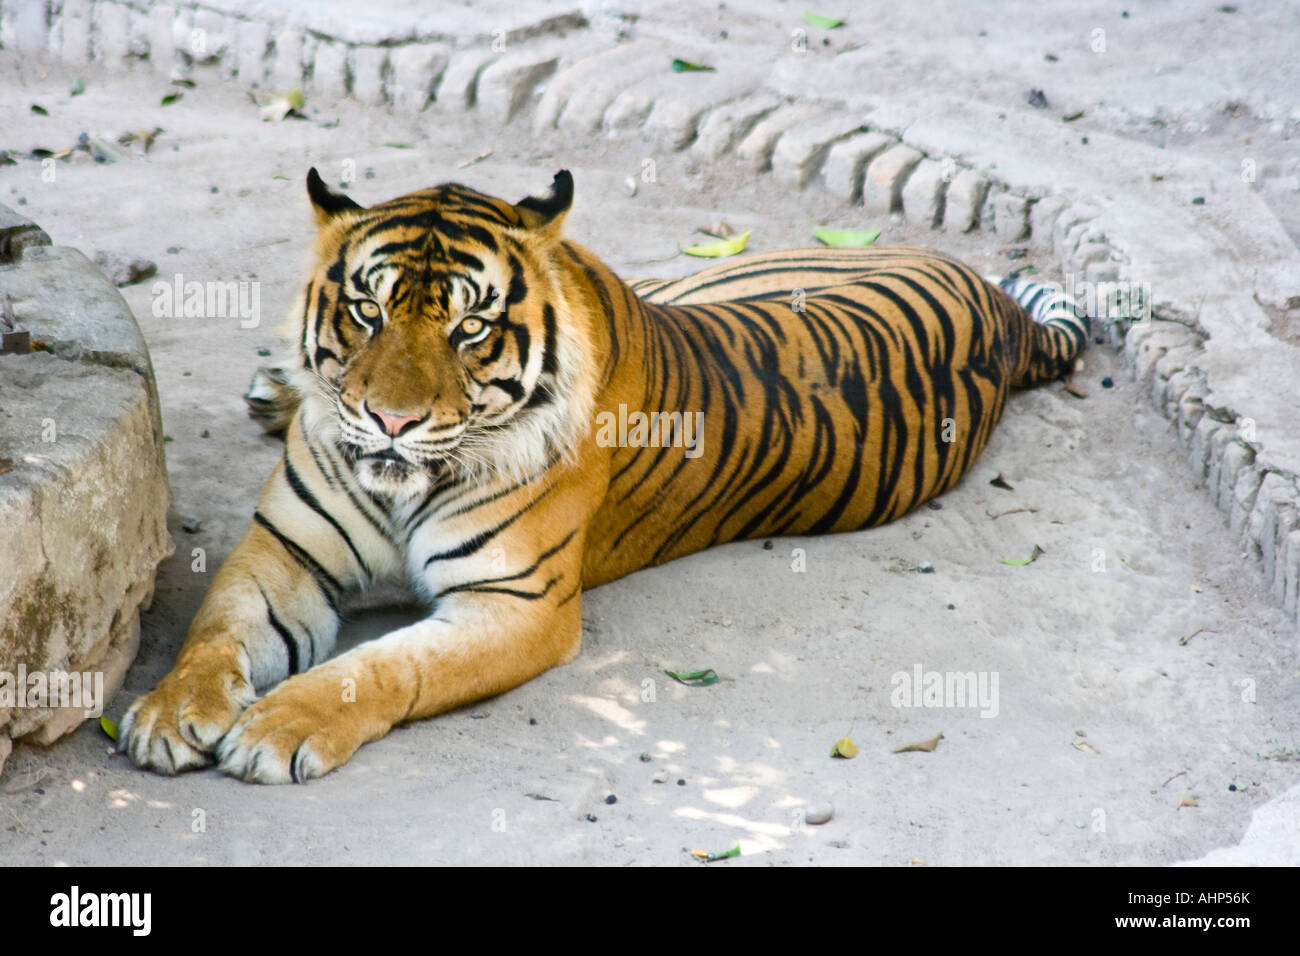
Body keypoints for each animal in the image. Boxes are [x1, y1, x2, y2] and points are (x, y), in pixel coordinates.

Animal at [119, 168, 1086, 783]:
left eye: (470, 328)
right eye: (367, 309)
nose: (391, 420)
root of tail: (1002, 314)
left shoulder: (516, 603)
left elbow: (385, 668)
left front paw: (278, 728)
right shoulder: (281, 555)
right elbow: (213, 634)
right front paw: (170, 713)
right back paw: (275, 388)